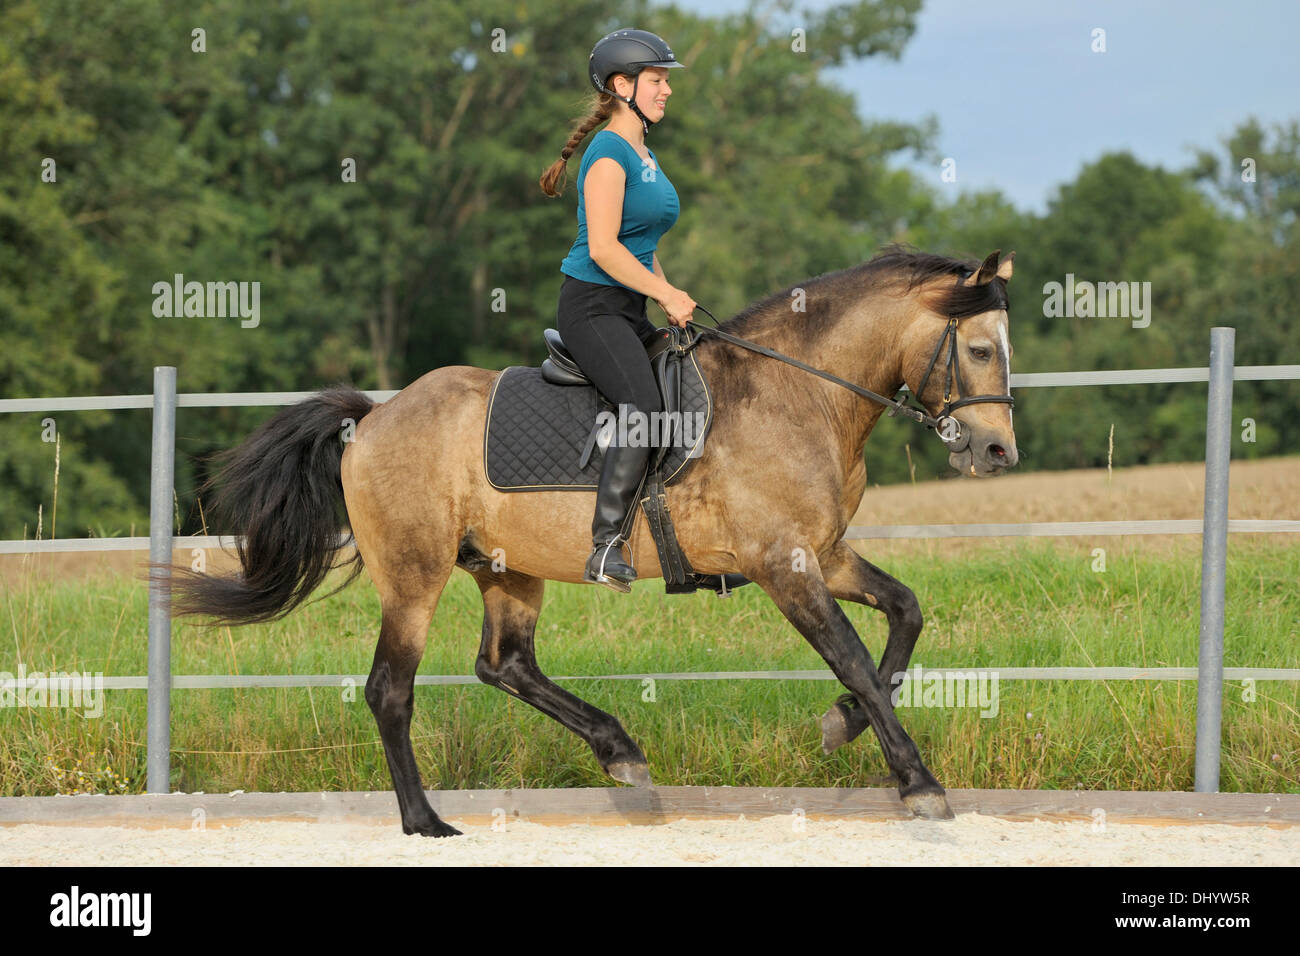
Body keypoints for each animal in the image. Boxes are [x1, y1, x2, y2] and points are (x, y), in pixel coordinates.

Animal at [164, 245, 1019, 836]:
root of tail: (372, 417)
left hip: (507, 571)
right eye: (980, 350)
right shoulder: (788, 567)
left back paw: (620, 753)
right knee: (390, 689)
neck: (798, 392)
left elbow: (905, 614)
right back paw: (426, 821)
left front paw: (842, 724)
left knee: (504, 665)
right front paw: (918, 783)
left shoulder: (825, 555)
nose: (997, 452)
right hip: (414, 576)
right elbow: (858, 663)